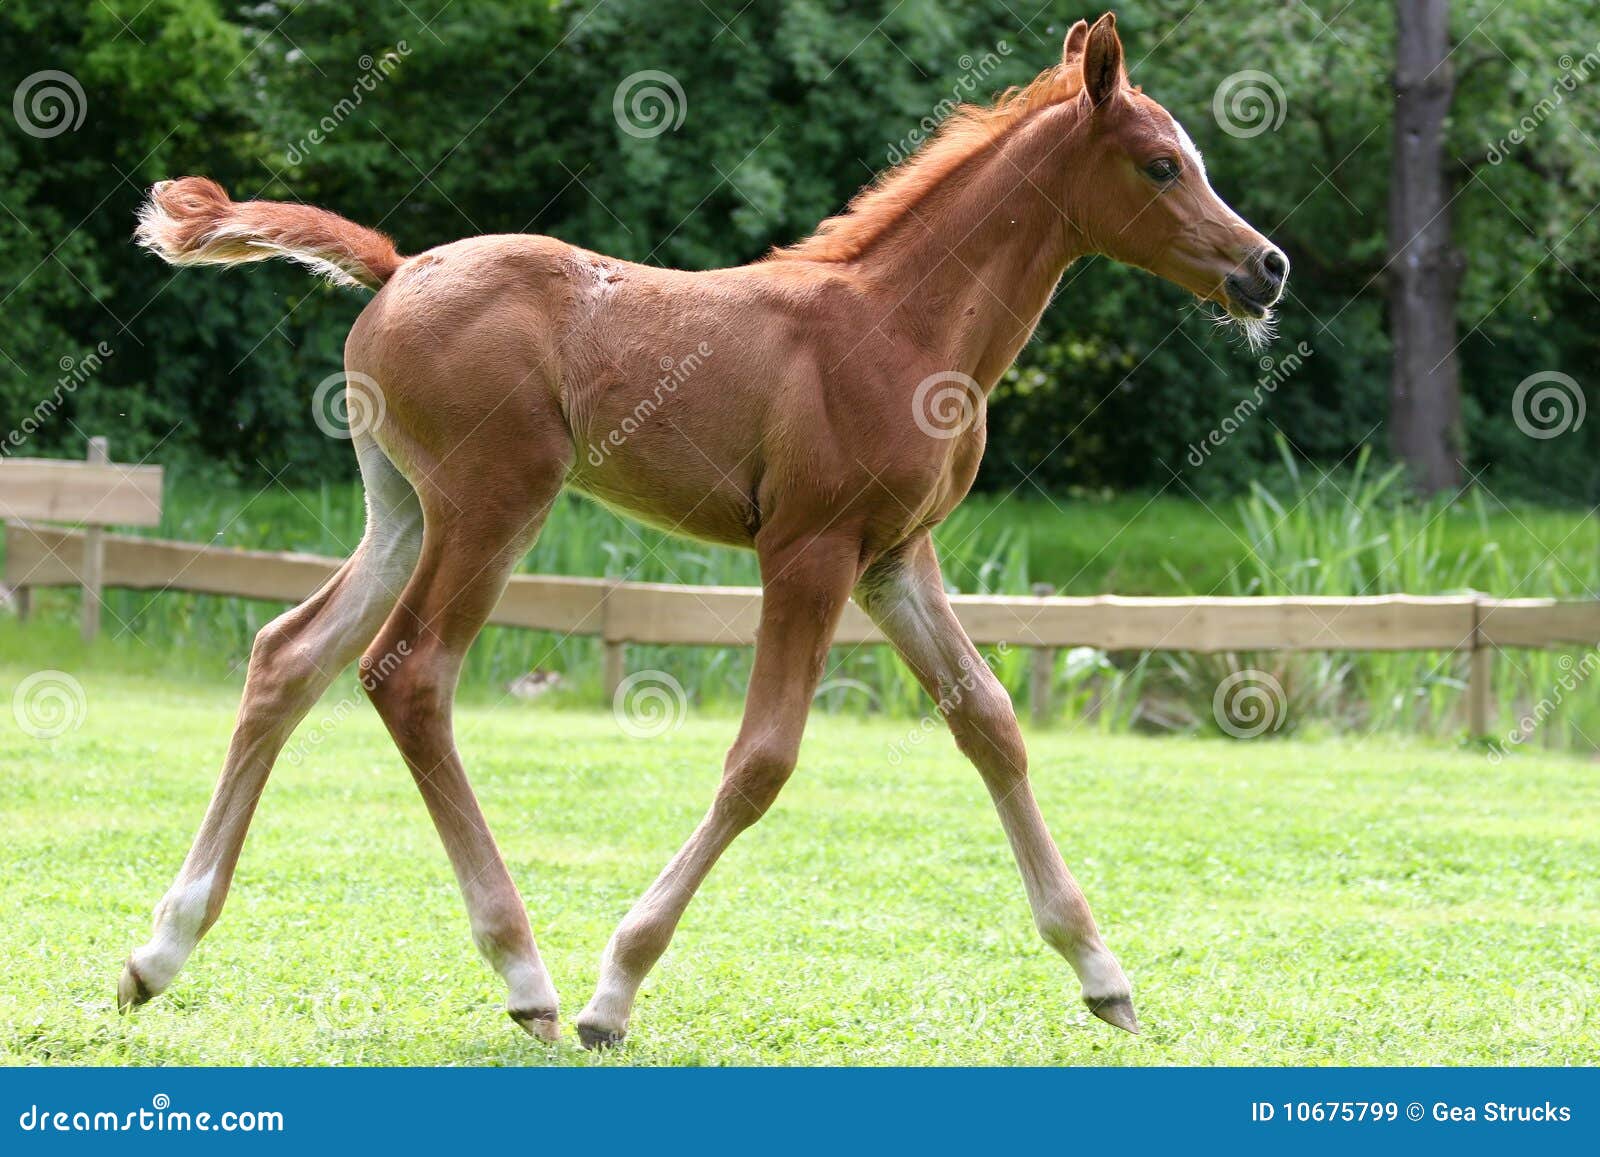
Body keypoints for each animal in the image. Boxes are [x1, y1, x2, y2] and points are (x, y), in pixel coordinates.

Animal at [124, 15, 1286, 1049]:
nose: (1265, 266)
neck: (904, 324)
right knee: (406, 675)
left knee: (288, 654)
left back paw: (160, 949)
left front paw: (1102, 973)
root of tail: (399, 267)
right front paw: (617, 986)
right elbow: (762, 758)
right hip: (494, 504)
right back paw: (526, 975)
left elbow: (991, 724)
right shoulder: (809, 550)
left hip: (402, 509)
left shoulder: (894, 560)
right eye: (1159, 165)